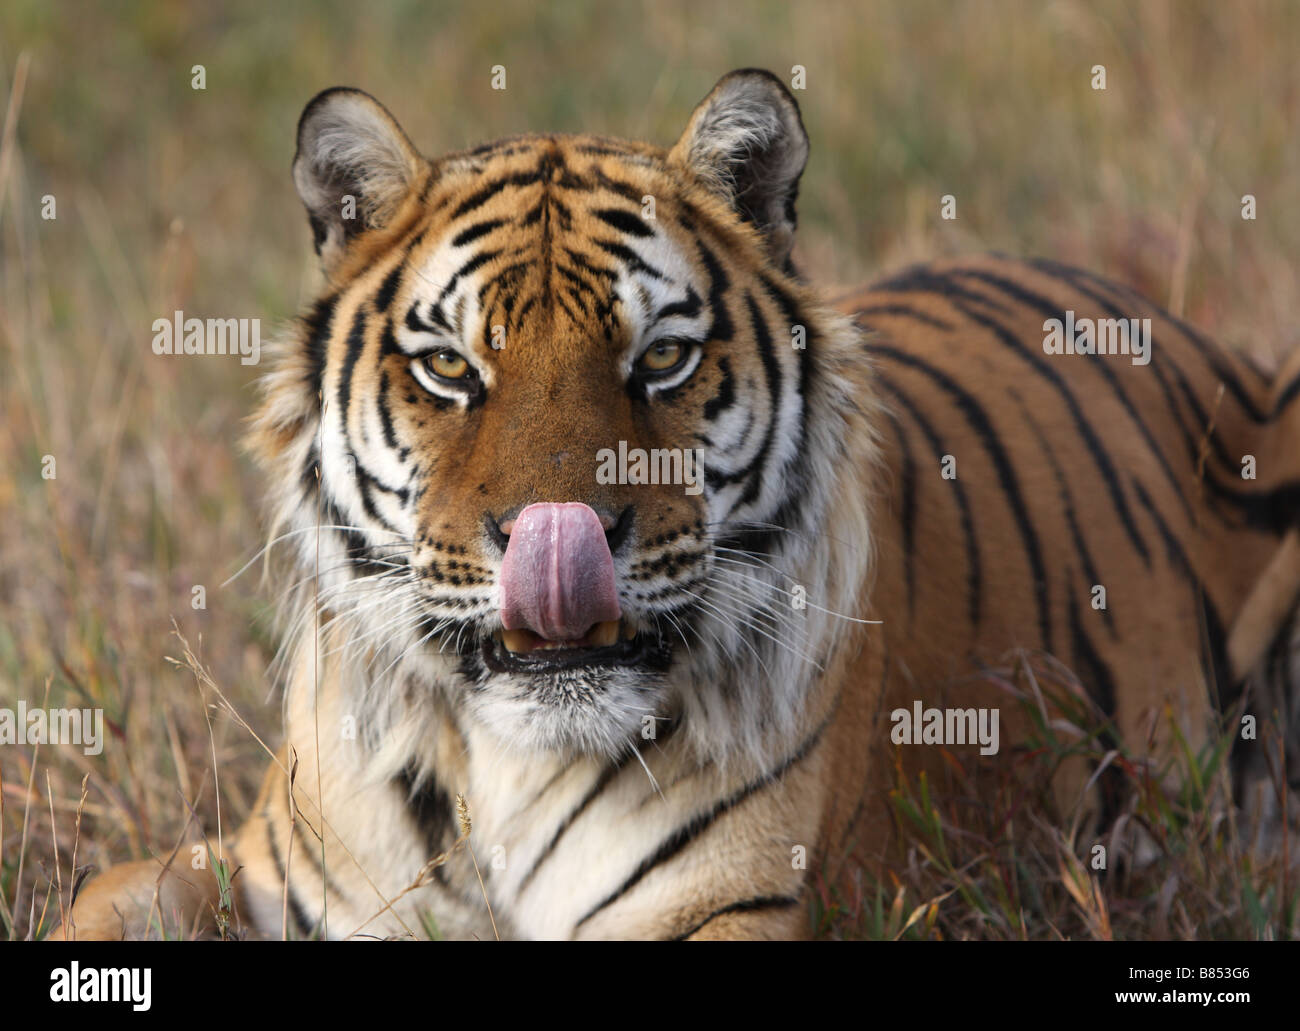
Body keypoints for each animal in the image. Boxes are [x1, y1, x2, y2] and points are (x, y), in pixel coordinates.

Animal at [57, 69, 1300, 941]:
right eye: (452, 367)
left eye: (659, 357)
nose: (559, 542)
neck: (493, 767)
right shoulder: (272, 868)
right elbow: (99, 894)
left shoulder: (722, 905)